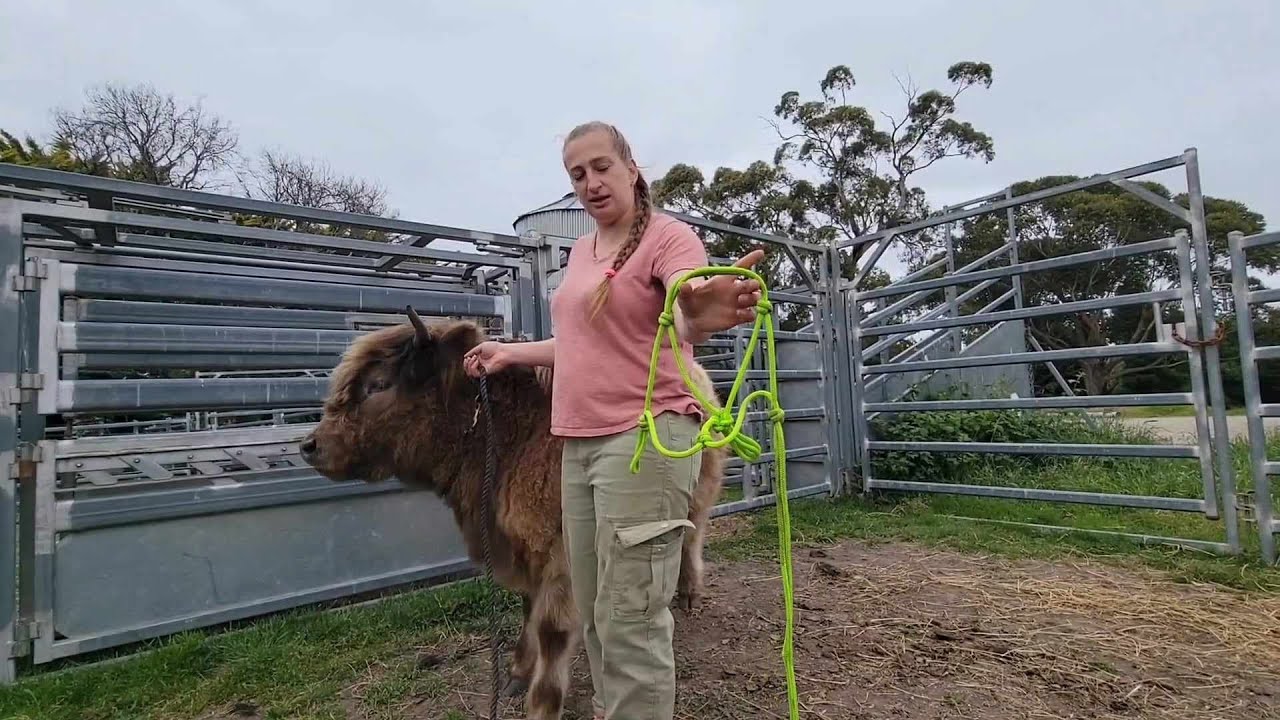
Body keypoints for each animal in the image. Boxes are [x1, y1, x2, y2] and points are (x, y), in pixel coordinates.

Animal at [299, 308, 727, 720]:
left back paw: (689, 593)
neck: (514, 434)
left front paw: (541, 704)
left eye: (378, 385)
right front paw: (519, 671)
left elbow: (551, 629)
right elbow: (527, 610)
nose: (310, 445)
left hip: (695, 497)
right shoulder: (522, 546)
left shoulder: (560, 556)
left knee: (691, 539)